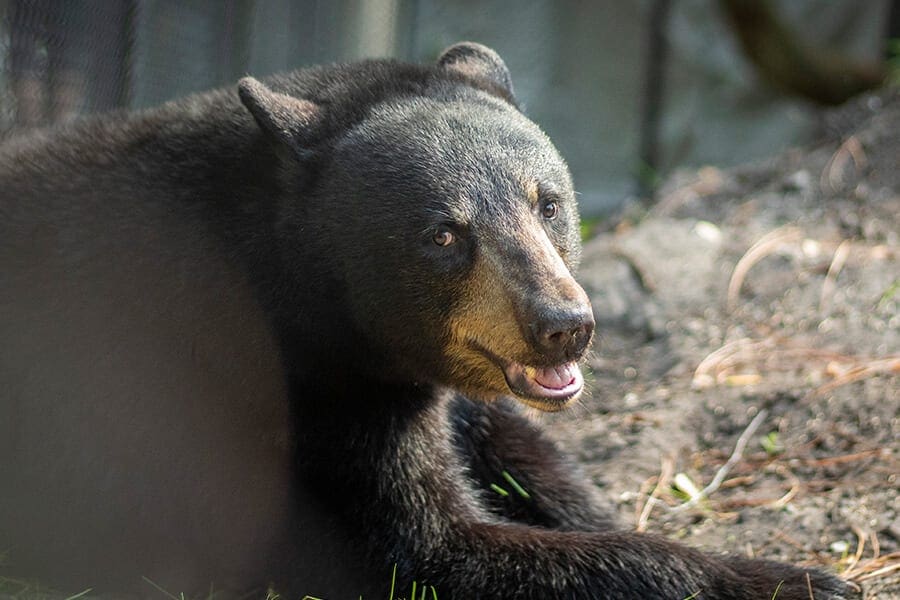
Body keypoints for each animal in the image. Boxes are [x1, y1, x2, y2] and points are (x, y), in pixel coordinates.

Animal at [0, 43, 854, 599]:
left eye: (548, 202)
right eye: (444, 234)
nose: (564, 324)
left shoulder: (441, 386)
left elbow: (526, 456)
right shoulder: (278, 403)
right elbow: (426, 550)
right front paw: (791, 578)